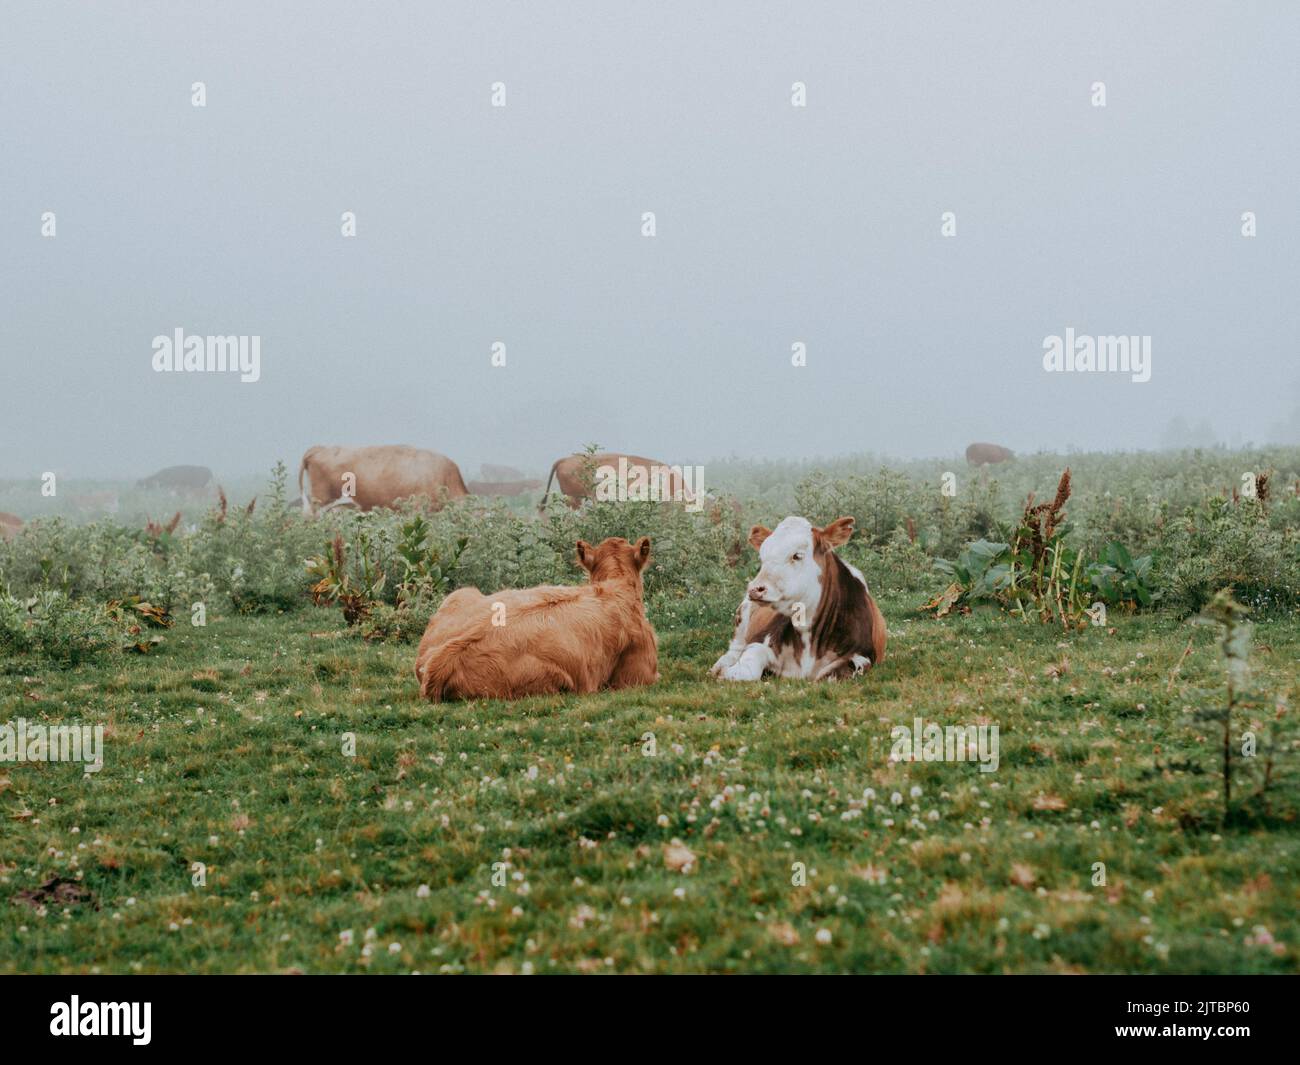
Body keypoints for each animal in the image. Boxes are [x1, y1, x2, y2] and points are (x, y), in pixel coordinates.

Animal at [711, 515, 886, 682]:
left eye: (797, 555)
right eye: (762, 557)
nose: (755, 589)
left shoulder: (861, 656)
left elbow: (832, 675)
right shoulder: (759, 641)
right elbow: (742, 671)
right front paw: (724, 671)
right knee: (734, 649)